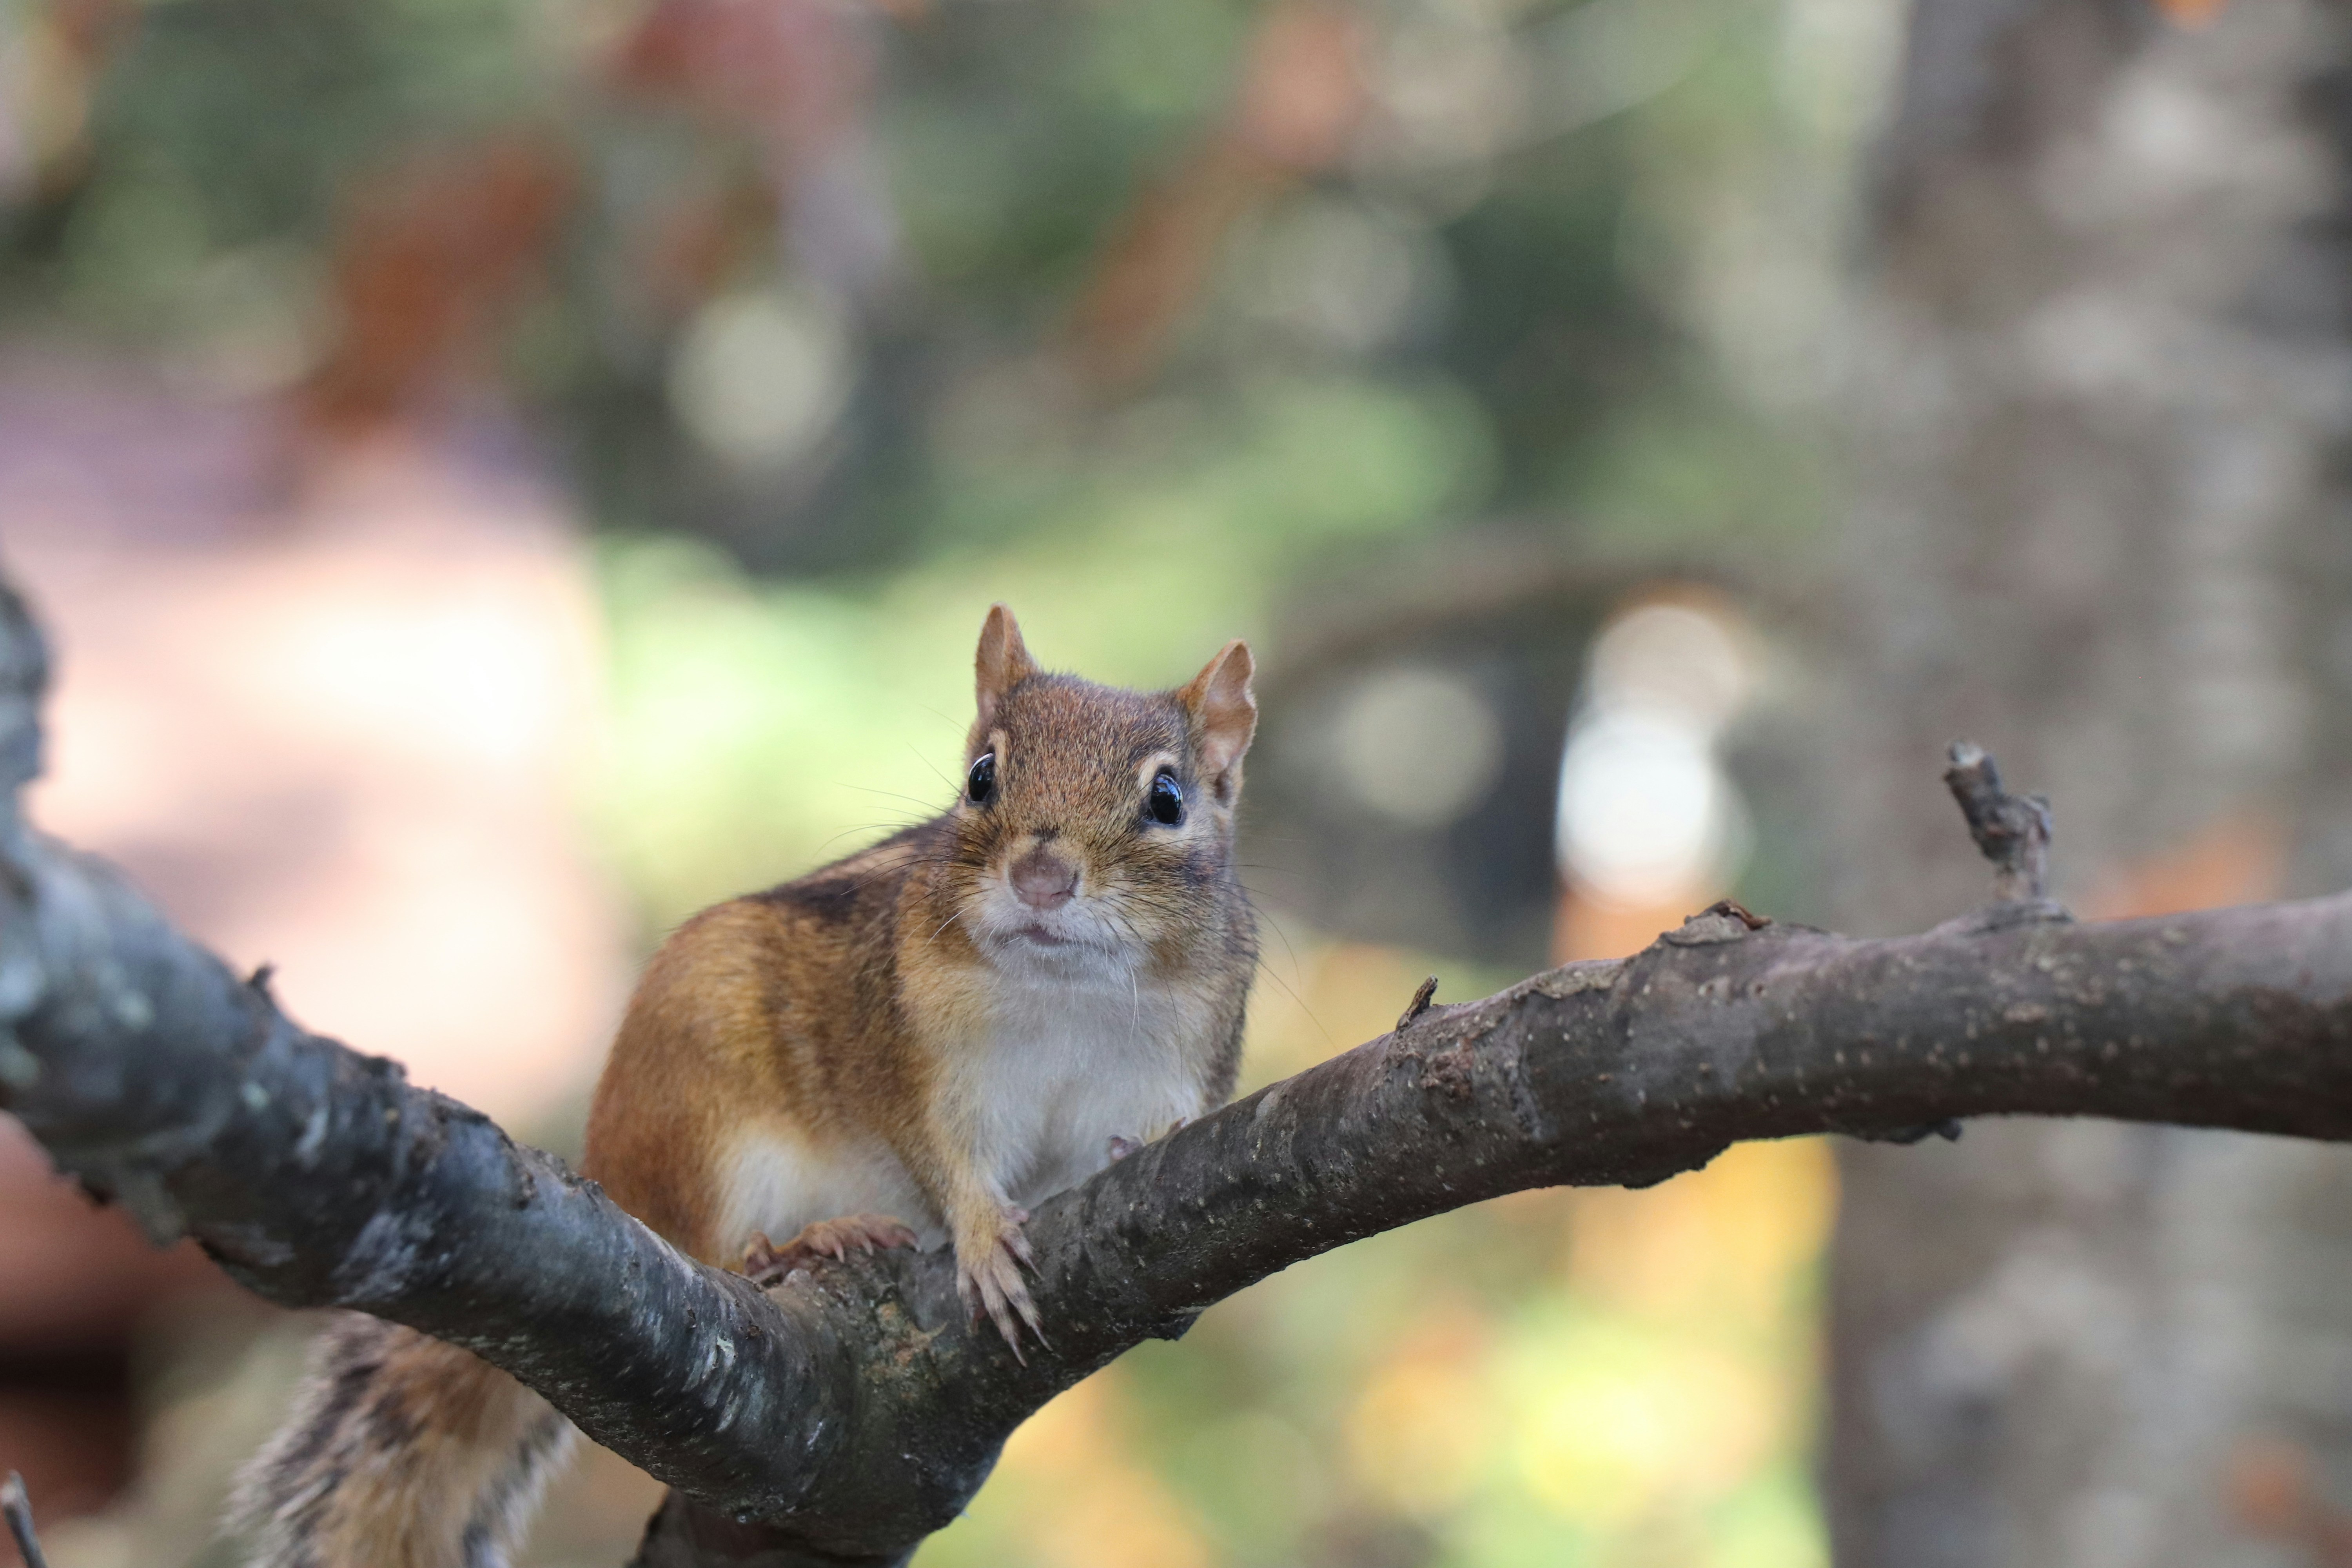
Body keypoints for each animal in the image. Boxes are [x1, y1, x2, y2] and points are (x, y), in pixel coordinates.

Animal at [230, 605, 1261, 1568]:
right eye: (981, 776)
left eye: (1167, 797)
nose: (1042, 877)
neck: (1067, 992)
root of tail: (610, 1175)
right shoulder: (915, 1059)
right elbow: (941, 1156)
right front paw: (977, 1234)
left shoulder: (1185, 1055)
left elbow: (1142, 1132)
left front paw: (1153, 1145)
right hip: (704, 1113)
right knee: (708, 1249)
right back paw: (809, 1240)